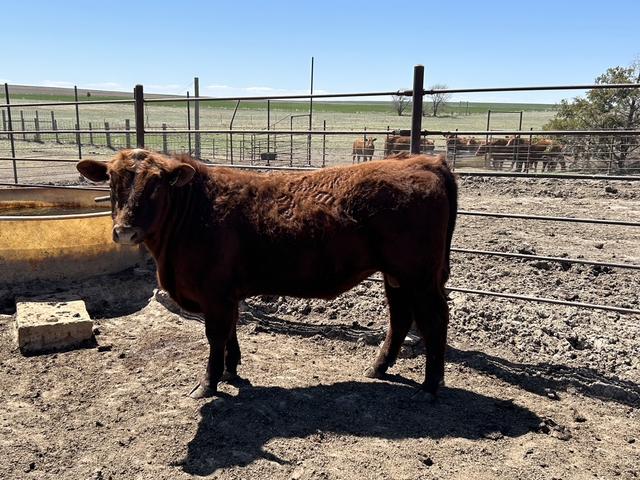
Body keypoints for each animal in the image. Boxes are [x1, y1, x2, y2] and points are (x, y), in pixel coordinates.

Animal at [77, 149, 458, 402]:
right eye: (112, 180)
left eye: (156, 185)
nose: (124, 231)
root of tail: (422, 160)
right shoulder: (227, 293)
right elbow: (231, 330)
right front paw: (231, 370)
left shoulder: (215, 292)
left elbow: (216, 335)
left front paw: (208, 383)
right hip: (397, 276)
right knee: (401, 317)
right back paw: (379, 367)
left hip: (418, 276)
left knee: (433, 319)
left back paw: (430, 386)